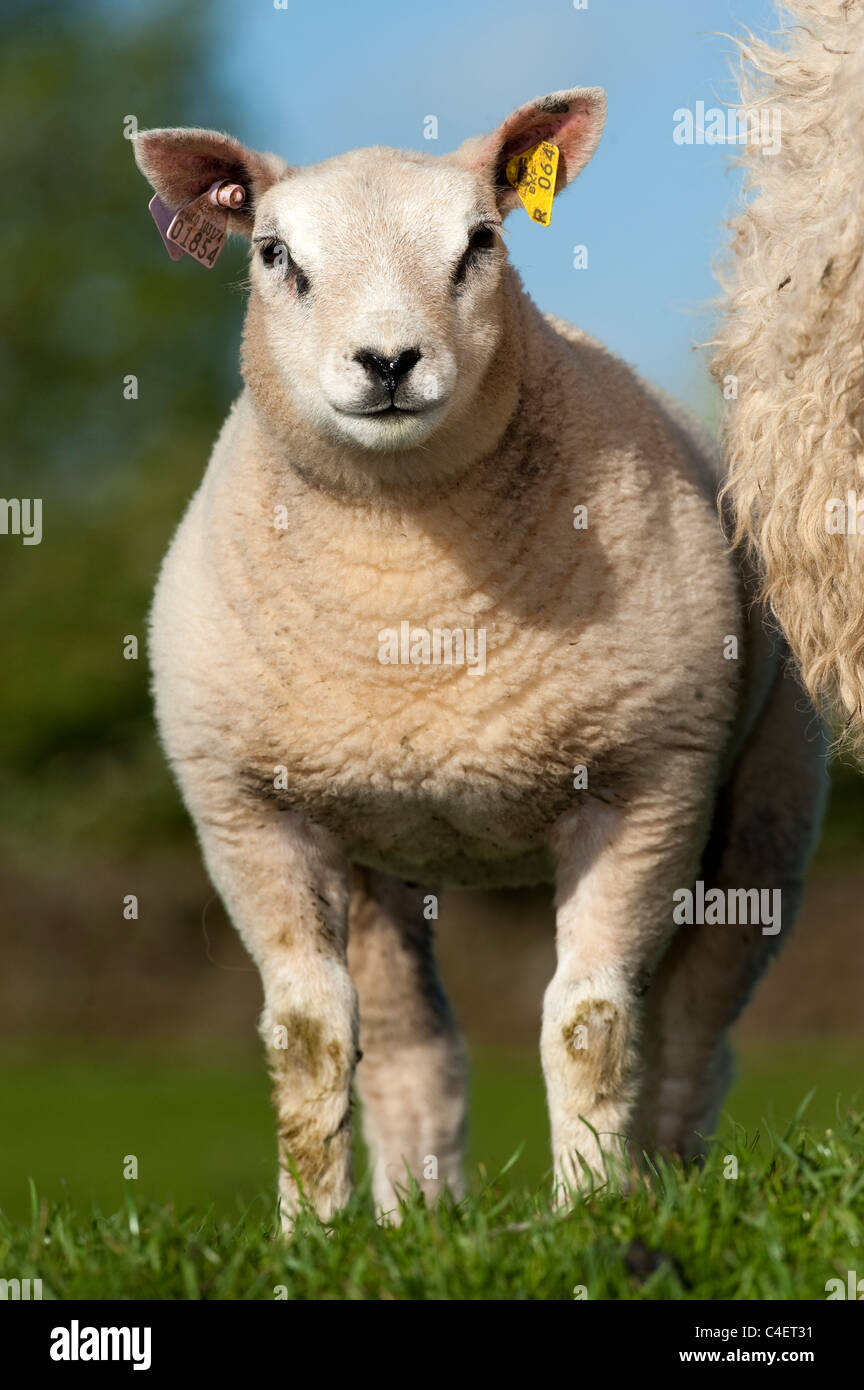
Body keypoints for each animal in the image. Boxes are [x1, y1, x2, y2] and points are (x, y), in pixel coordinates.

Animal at [133, 87, 827, 1227]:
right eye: (274, 253)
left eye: (482, 242)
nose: (387, 362)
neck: (411, 606)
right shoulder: (247, 809)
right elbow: (309, 1033)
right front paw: (305, 1234)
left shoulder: (646, 783)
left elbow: (591, 1023)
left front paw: (588, 1210)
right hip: (372, 840)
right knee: (409, 1043)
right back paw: (414, 1216)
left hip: (768, 799)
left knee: (696, 1019)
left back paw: (665, 1179)